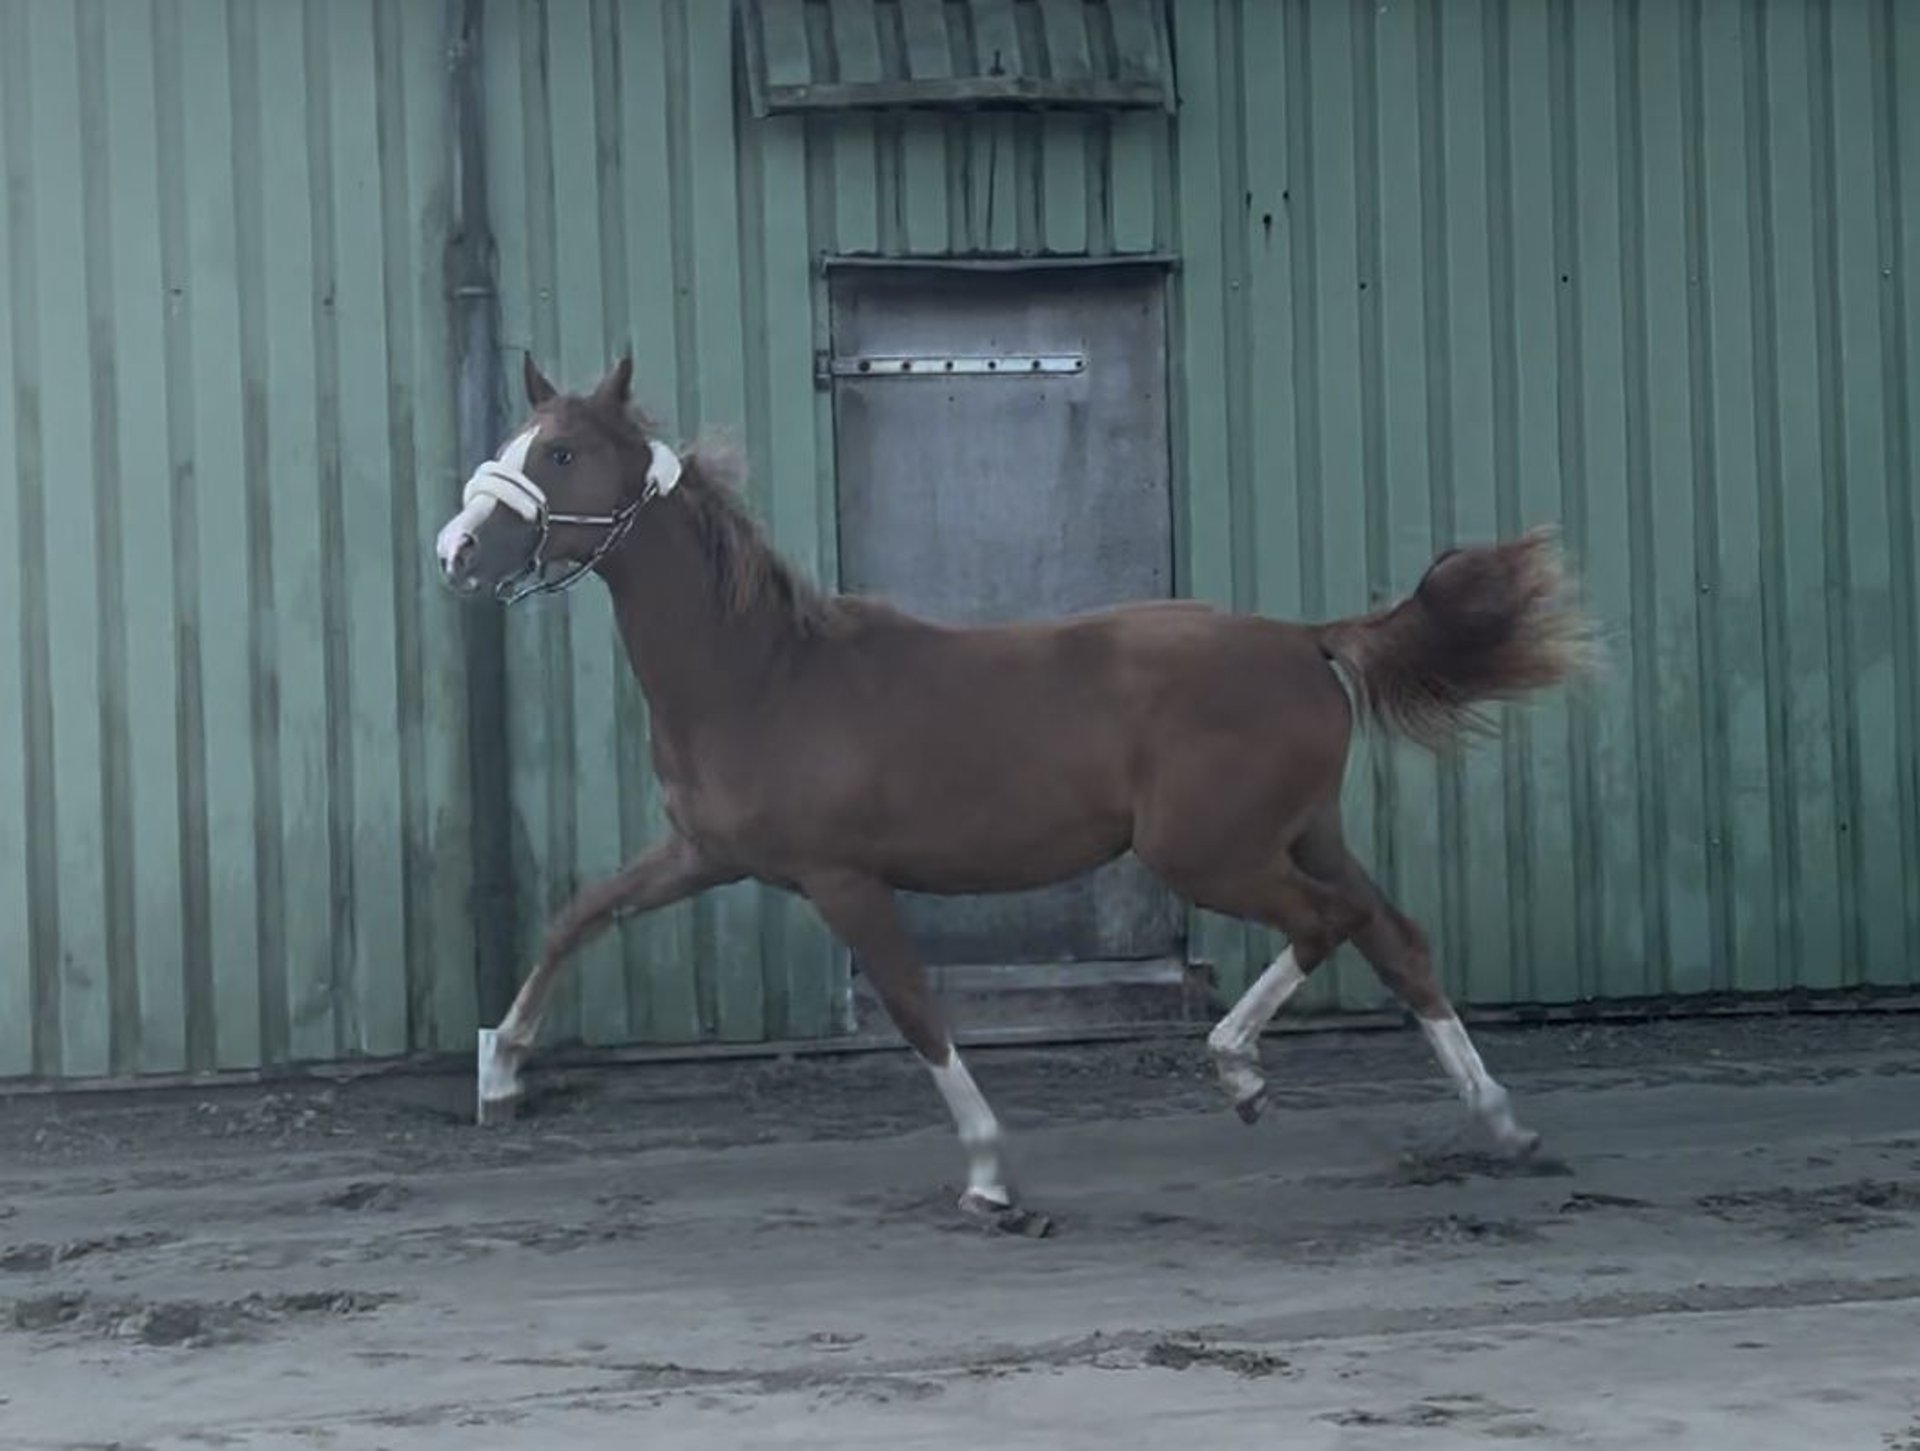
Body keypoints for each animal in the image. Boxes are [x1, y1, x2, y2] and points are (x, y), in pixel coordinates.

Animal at [433, 353, 1597, 1232]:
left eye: (562, 452)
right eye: (518, 439)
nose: (457, 550)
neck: (762, 676)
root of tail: (1305, 638)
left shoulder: (841, 877)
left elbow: (915, 1007)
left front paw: (991, 1174)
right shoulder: (705, 855)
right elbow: (577, 916)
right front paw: (501, 1075)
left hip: (1210, 853)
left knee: (1330, 924)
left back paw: (1242, 1072)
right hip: (1306, 831)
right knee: (1393, 934)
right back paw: (1503, 1122)